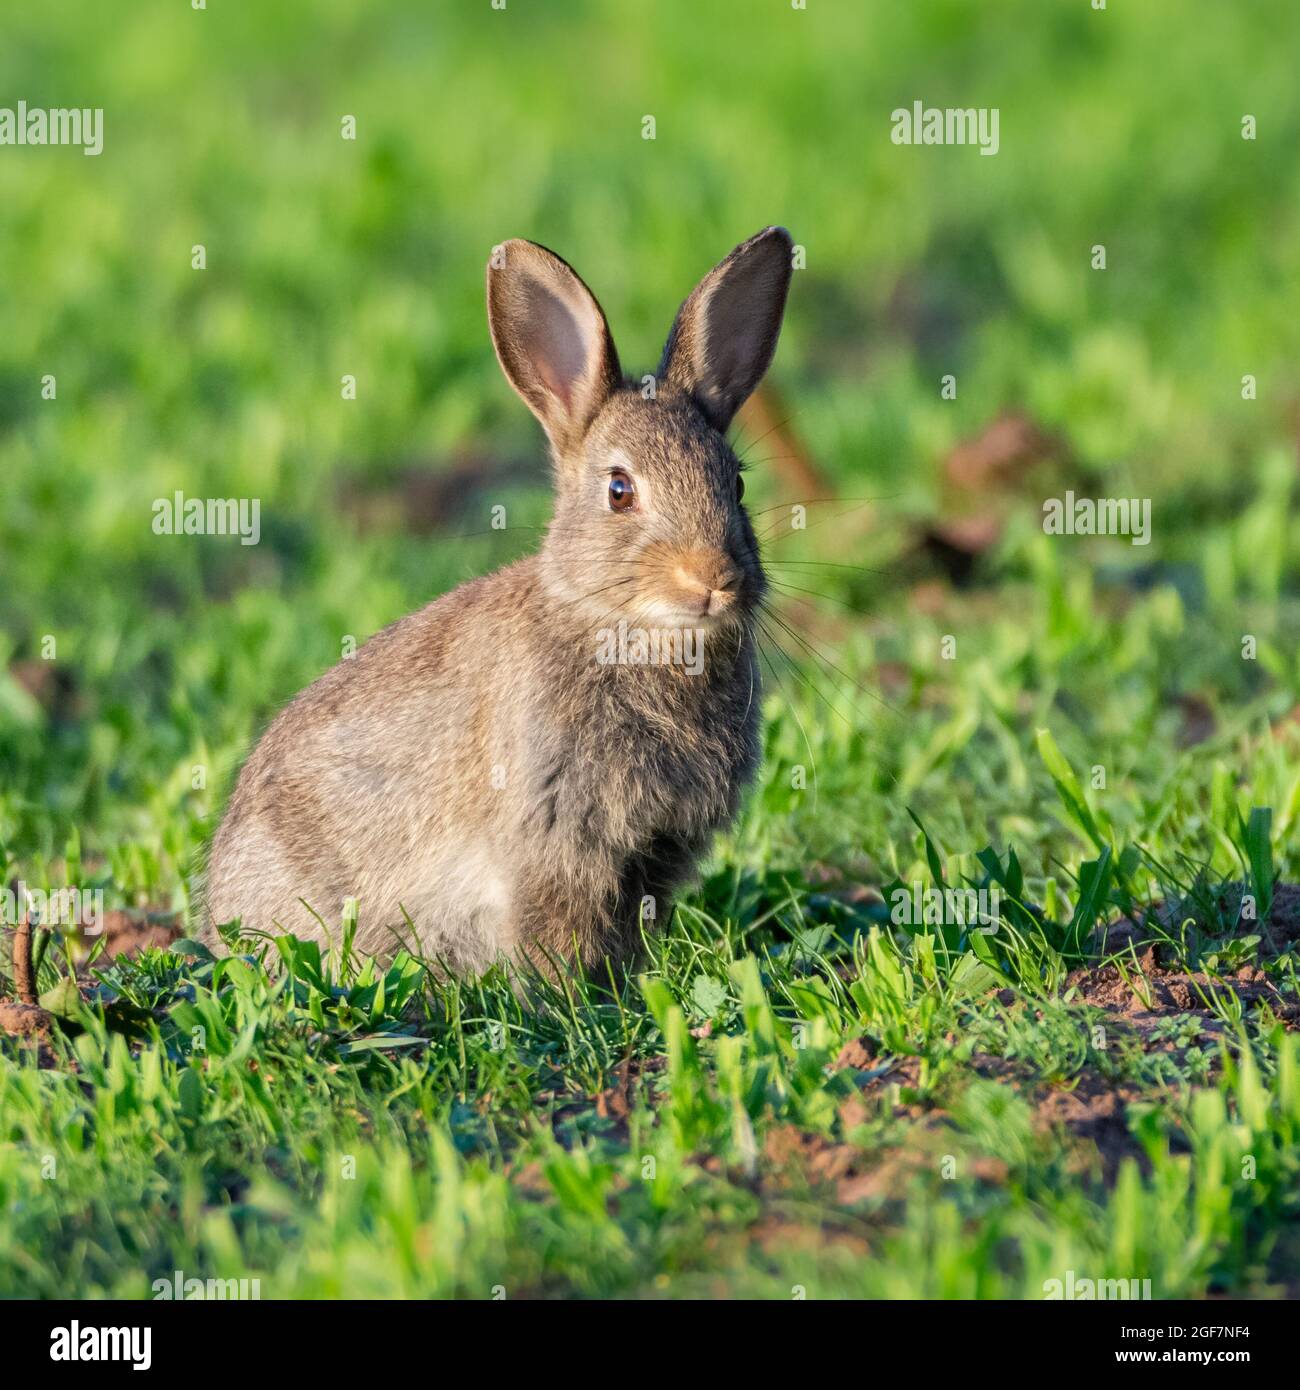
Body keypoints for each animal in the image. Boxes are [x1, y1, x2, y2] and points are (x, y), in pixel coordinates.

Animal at [200, 226, 795, 975]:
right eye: (619, 491)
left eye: (736, 485)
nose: (713, 578)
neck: (621, 628)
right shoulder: (552, 839)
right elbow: (555, 930)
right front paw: (572, 992)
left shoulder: (652, 854)